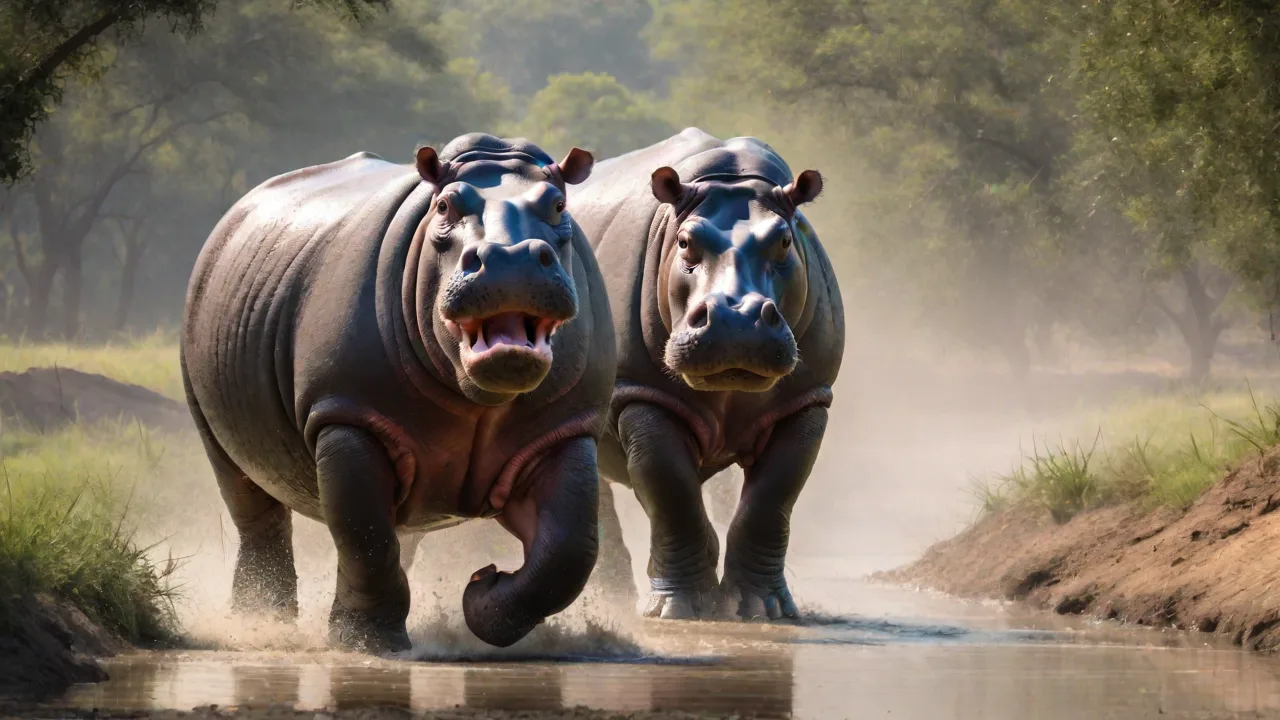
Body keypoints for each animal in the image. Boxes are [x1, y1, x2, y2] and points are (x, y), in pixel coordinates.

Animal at [180, 134, 615, 652]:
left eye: (558, 205)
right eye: (444, 206)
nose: (511, 259)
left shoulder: (566, 427)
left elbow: (569, 549)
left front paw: (481, 597)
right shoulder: (346, 412)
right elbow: (364, 532)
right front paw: (368, 643)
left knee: (401, 529)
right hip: (202, 376)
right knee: (251, 498)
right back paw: (261, 624)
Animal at [570, 128, 844, 620]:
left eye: (785, 241)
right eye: (683, 243)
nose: (735, 319)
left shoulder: (808, 398)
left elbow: (771, 498)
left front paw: (761, 609)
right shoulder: (641, 391)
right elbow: (671, 490)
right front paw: (677, 611)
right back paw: (611, 601)